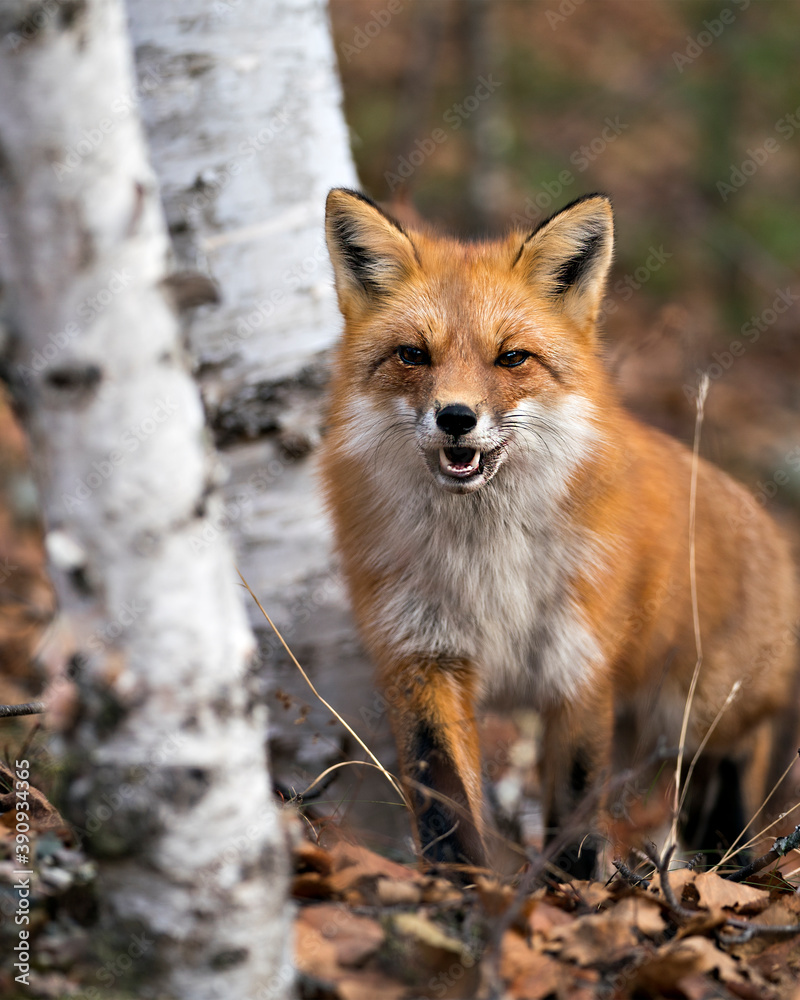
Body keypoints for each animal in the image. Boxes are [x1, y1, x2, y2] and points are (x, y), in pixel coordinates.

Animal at [320, 187, 798, 878]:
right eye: (413, 354)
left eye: (512, 356)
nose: (456, 417)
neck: (484, 561)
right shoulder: (422, 656)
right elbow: (444, 800)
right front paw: (460, 891)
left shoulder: (577, 665)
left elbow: (573, 812)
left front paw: (573, 892)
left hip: (698, 713)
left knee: (733, 764)